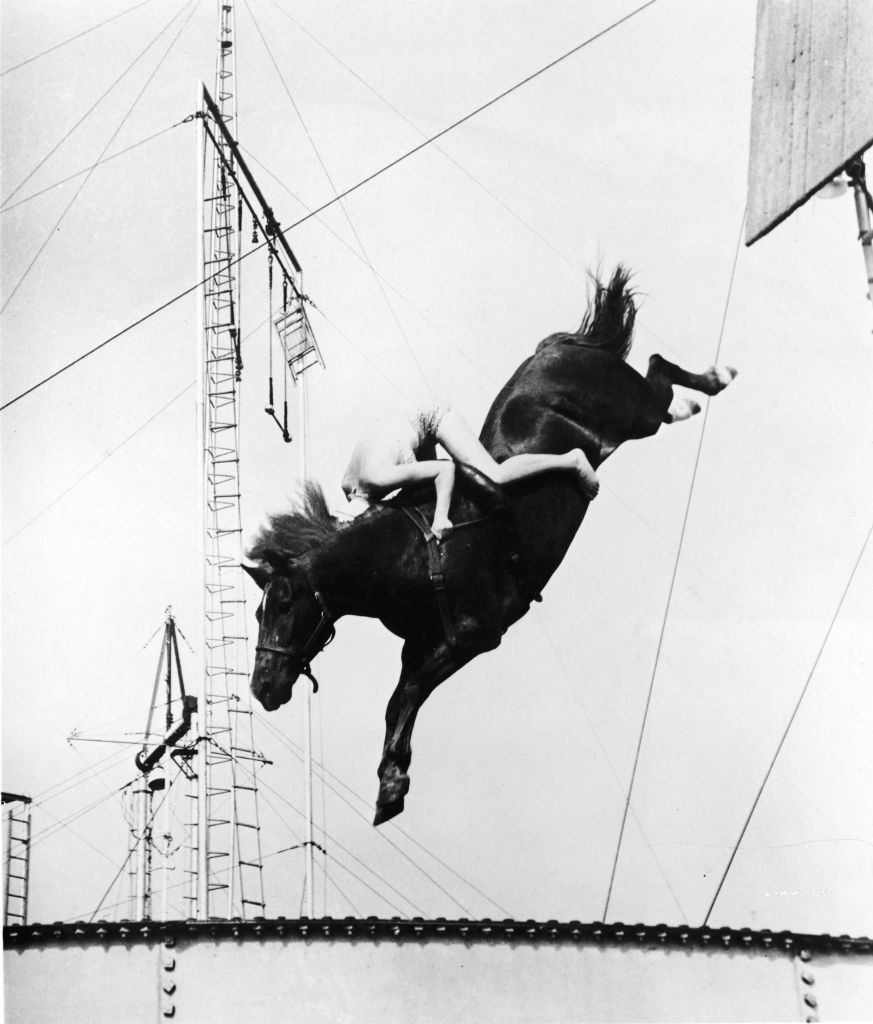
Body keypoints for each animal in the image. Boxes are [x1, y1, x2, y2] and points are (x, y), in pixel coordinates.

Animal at [244, 267, 737, 825]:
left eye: (285, 605)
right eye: (258, 613)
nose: (262, 688)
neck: (410, 554)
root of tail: (558, 348)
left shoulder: (474, 635)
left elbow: (404, 697)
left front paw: (392, 786)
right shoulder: (422, 644)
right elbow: (400, 702)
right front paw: (392, 781)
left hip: (636, 413)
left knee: (656, 371)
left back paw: (711, 382)